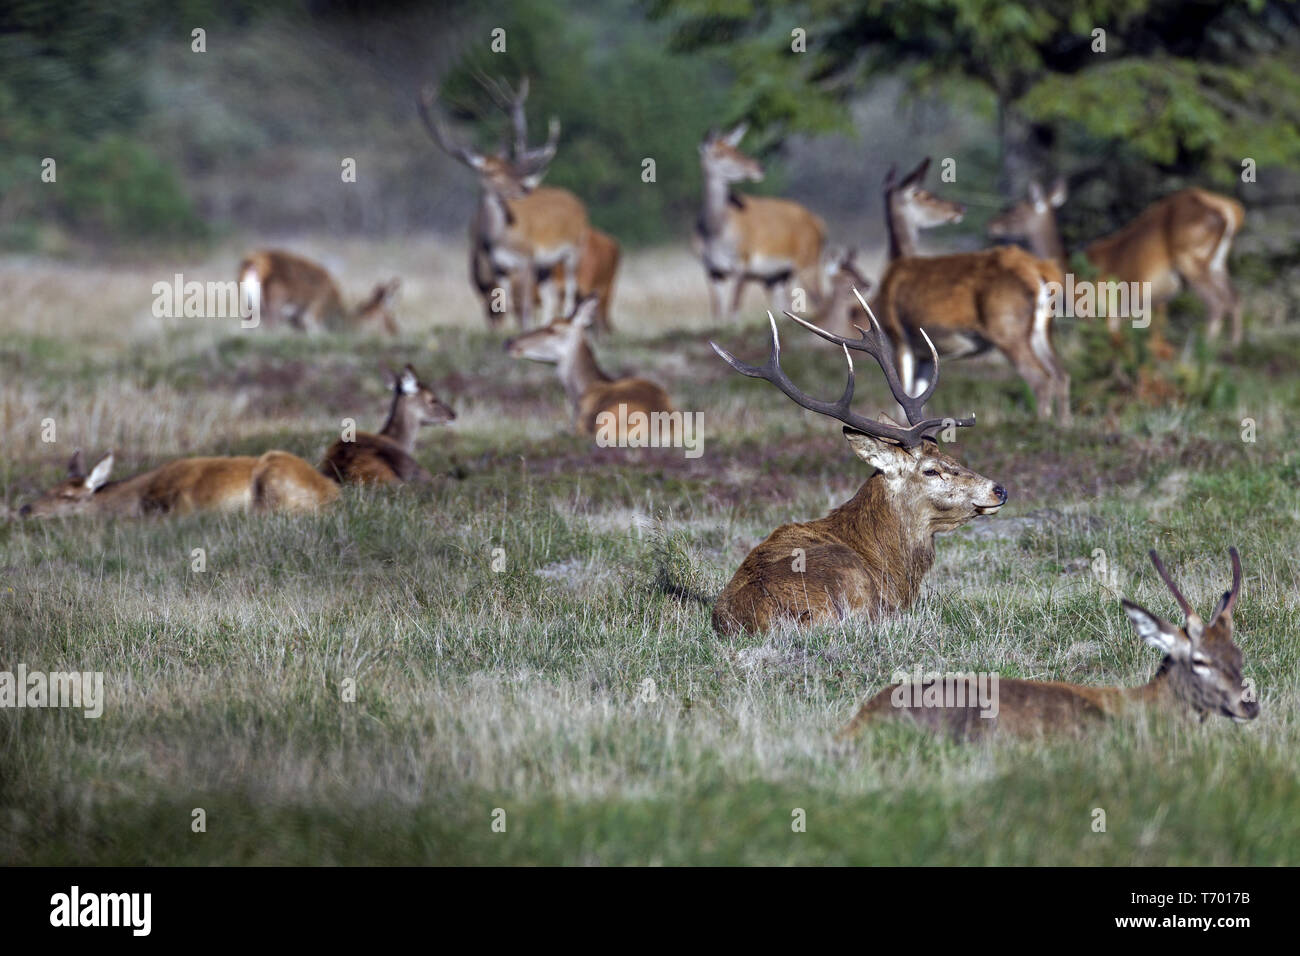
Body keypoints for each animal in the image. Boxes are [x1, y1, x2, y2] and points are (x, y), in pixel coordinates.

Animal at [237, 250, 399, 334]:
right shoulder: (312, 316)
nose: (396, 331)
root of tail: (252, 263)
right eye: (390, 316)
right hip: (273, 304)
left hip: (248, 309)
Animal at [420, 78, 589, 329]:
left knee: (568, 291)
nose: (524, 188)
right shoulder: (498, 266)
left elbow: (525, 307)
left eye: (510, 167)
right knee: (549, 294)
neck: (499, 239)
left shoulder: (527, 258)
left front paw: (524, 329)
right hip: (546, 264)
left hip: (573, 249)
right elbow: (504, 303)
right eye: (491, 172)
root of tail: (578, 204)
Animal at [695, 123, 826, 323]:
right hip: (778, 276)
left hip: (808, 262)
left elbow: (734, 311)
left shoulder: (743, 262)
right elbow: (717, 315)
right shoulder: (710, 269)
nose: (759, 167)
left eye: (736, 148)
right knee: (788, 307)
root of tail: (819, 224)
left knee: (822, 301)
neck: (714, 233)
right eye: (720, 153)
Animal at [987, 178, 1247, 348]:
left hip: (1191, 258)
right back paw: (1233, 348)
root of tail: (1231, 210)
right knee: (1234, 298)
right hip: (1216, 263)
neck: (1071, 277)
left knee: (1217, 303)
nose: (993, 224)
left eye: (1015, 211)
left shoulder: (1101, 309)